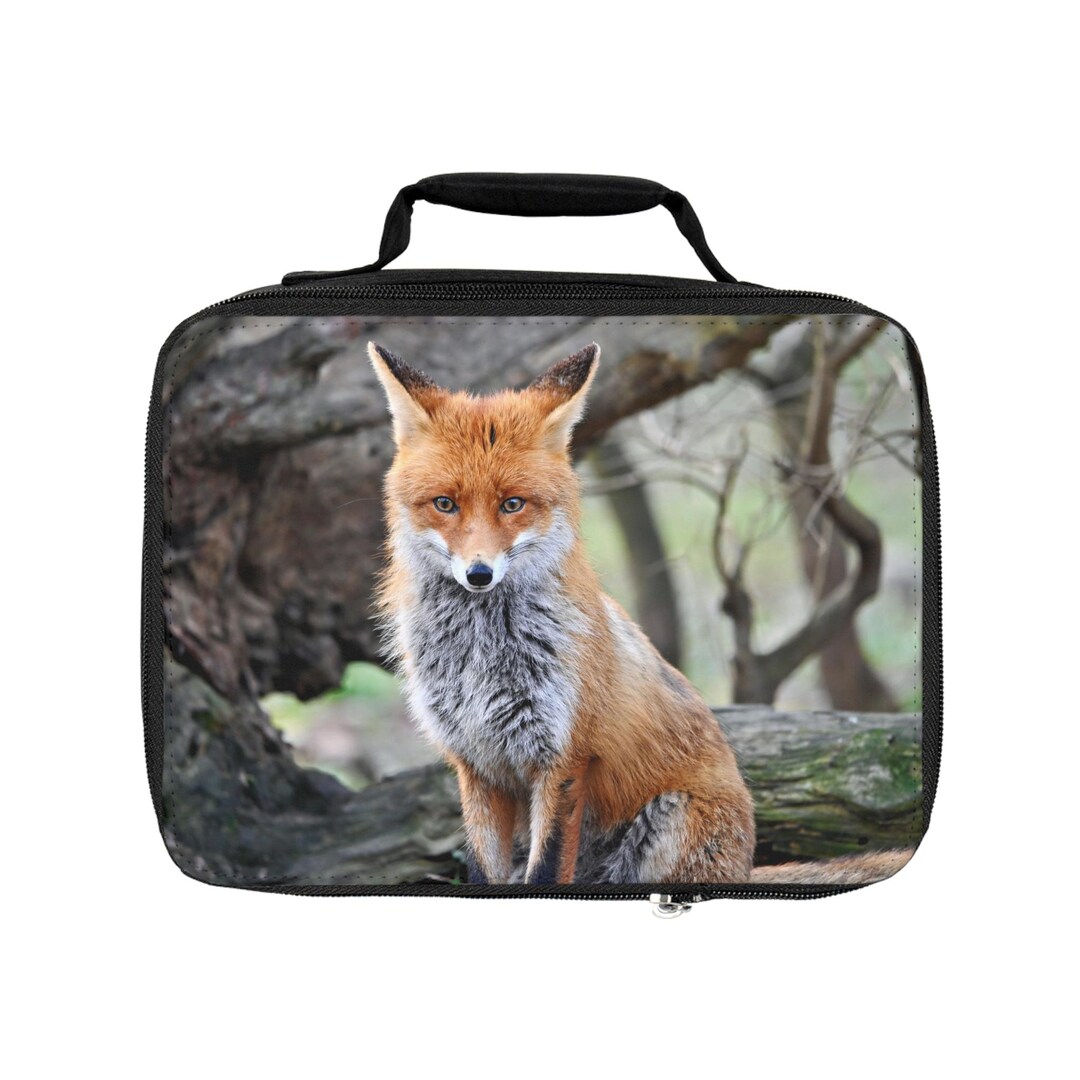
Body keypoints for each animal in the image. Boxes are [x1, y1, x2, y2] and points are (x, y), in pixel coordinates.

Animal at [369, 339, 911, 887]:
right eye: (445, 504)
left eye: (512, 505)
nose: (478, 574)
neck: (481, 655)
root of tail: (743, 869)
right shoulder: (474, 763)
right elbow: (483, 872)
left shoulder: (564, 758)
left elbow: (545, 871)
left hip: (668, 822)